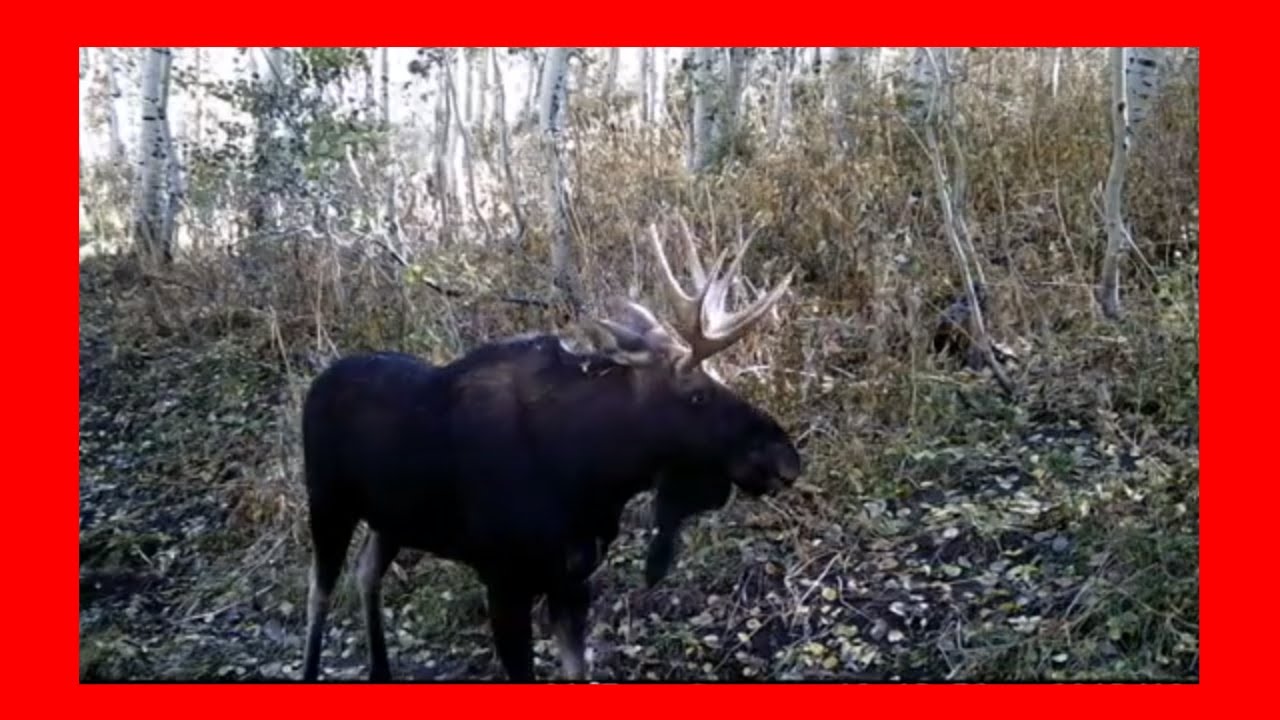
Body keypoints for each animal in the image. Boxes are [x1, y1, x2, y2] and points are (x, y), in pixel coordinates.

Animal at [299, 217, 801, 682]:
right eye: (697, 395)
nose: (786, 459)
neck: (592, 475)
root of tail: (316, 383)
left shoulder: (573, 579)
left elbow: (577, 671)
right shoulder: (504, 581)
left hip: (390, 519)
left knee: (366, 572)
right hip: (327, 501)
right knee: (318, 591)